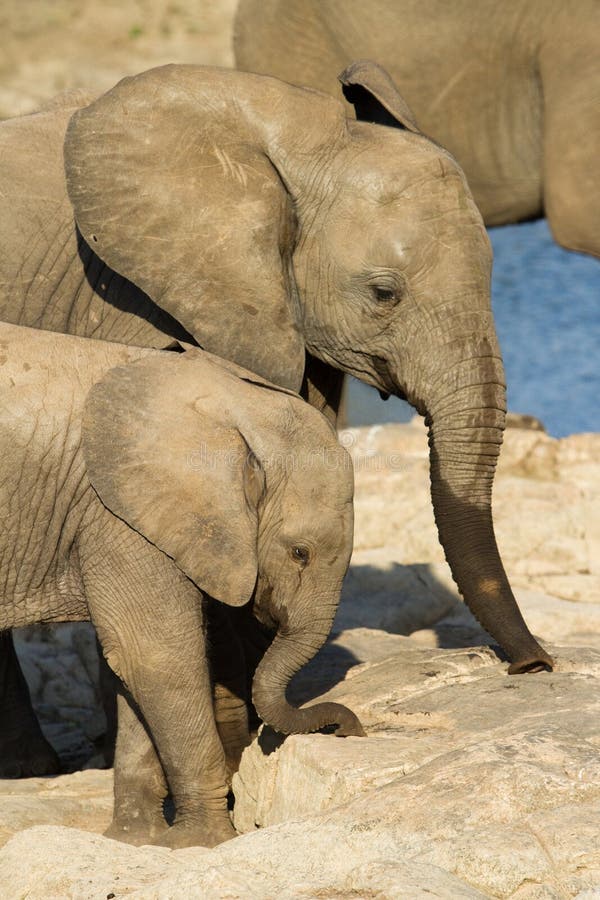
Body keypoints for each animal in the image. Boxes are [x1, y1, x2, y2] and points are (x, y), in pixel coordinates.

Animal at [0, 321, 363, 847]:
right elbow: (156, 657)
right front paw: (206, 843)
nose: (349, 729)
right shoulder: (117, 512)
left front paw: (137, 841)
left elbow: (129, 666)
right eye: (300, 553)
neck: (235, 406)